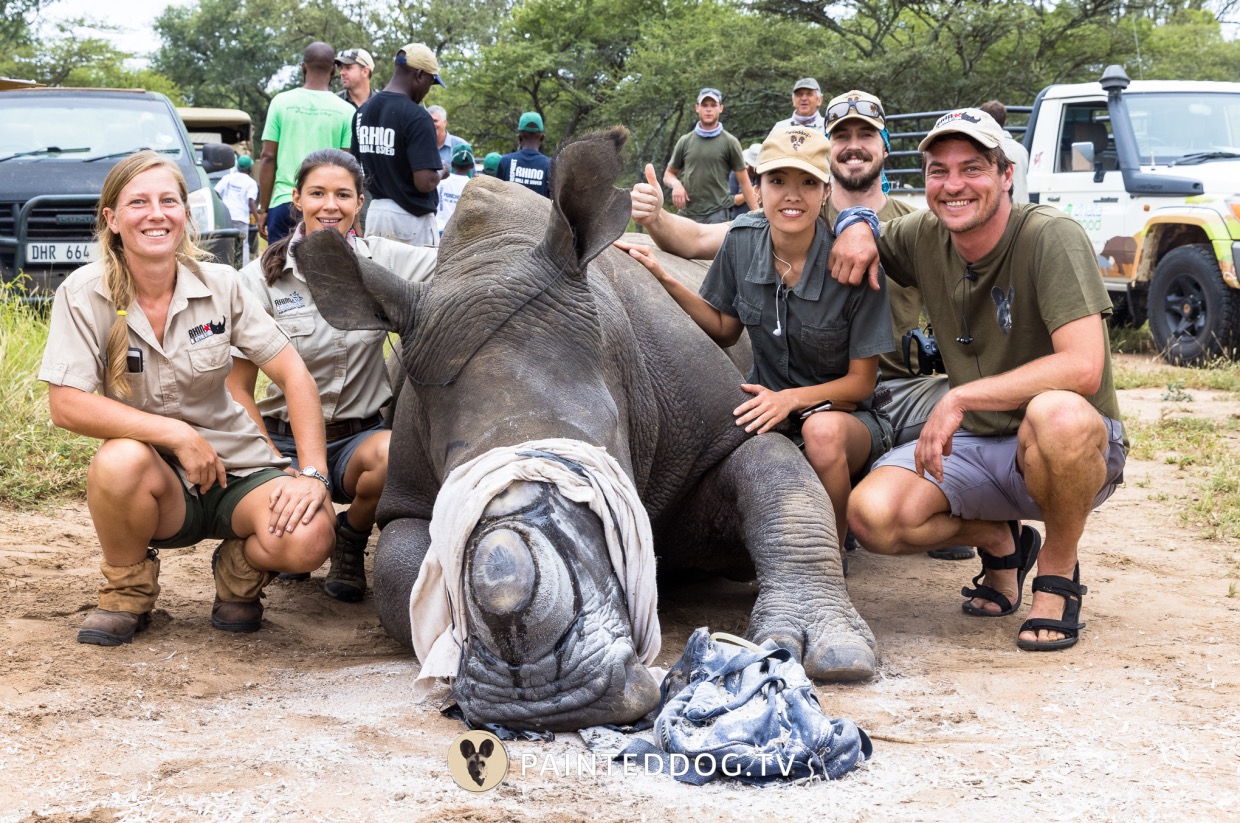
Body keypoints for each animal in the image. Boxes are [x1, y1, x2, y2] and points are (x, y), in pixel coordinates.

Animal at [293, 128, 876, 732]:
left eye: (606, 470)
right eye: (458, 477)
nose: (544, 700)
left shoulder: (725, 421)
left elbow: (779, 479)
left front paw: (822, 655)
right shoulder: (408, 492)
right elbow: (400, 570)